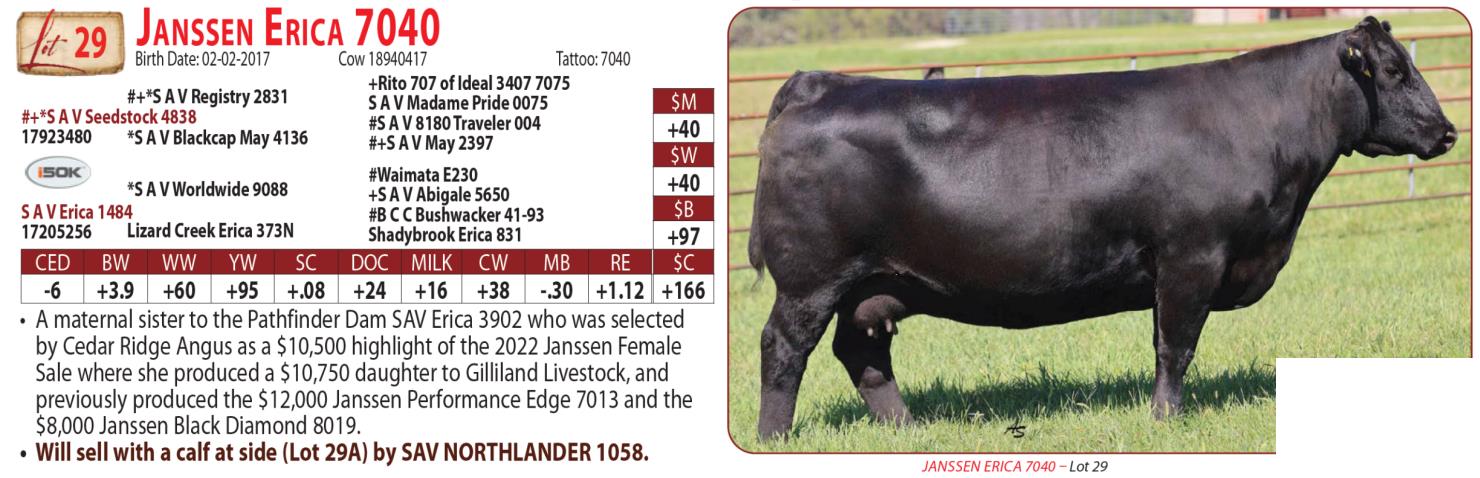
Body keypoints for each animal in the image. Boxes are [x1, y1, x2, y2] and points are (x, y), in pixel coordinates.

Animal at [747, 17, 1457, 440]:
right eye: (1394, 72)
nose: (1447, 131)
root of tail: (818, 82)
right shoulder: (1191, 256)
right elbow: (1175, 346)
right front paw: (1167, 421)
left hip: (868, 285)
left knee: (861, 351)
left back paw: (906, 428)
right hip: (810, 280)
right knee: (784, 349)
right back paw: (774, 437)